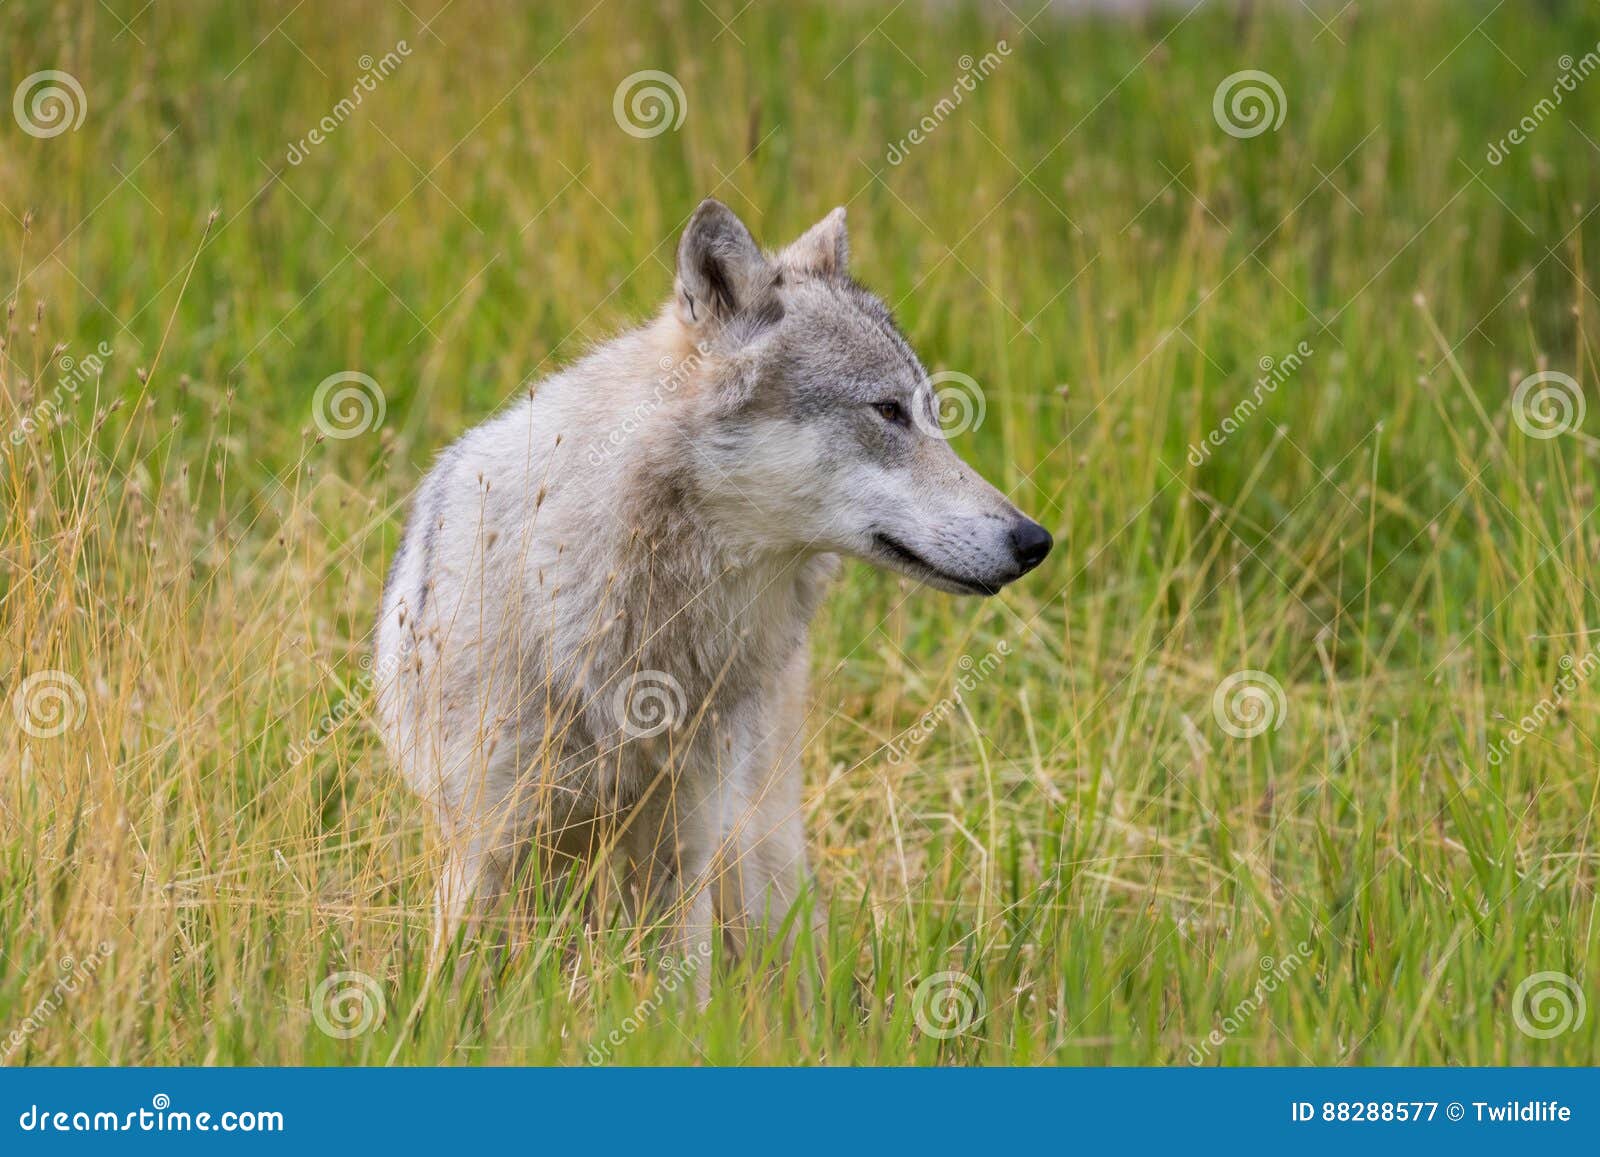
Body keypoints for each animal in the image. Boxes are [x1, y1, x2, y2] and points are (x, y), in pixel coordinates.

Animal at [375, 199, 1052, 982]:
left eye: (934, 415)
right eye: (888, 411)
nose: (1035, 541)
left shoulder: (682, 856)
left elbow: (680, 993)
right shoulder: (485, 845)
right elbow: (450, 985)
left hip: (756, 849)